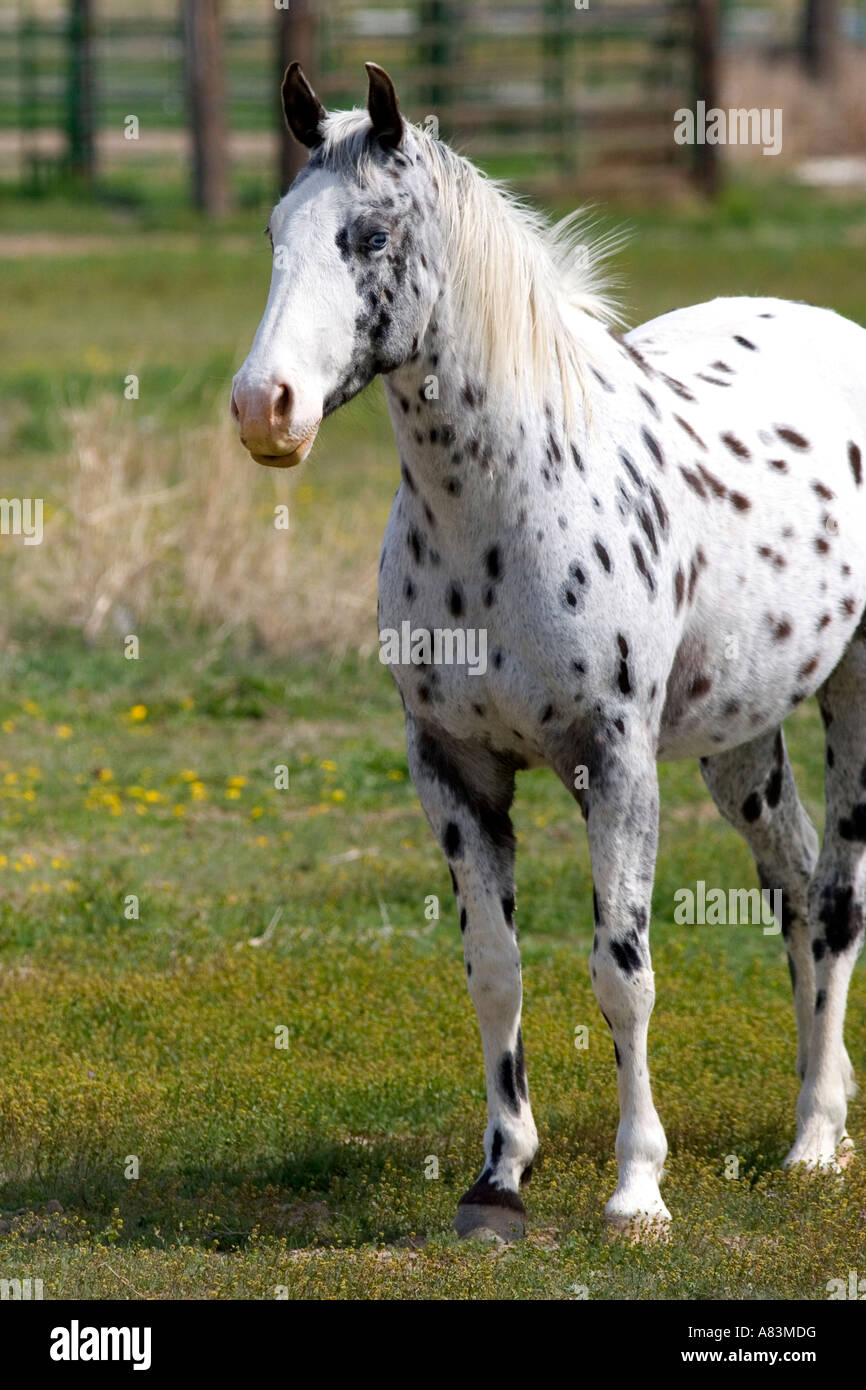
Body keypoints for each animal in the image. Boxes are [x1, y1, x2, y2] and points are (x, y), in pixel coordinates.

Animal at [230, 62, 866, 1239]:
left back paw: (810, 1141)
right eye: (274, 232)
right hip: (738, 741)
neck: (508, 506)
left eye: (370, 235)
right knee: (797, 891)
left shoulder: (612, 765)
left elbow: (622, 971)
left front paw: (636, 1188)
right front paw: (499, 1179)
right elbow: (493, 969)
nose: (265, 407)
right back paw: (820, 1113)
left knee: (839, 904)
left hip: (852, 693)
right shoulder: (453, 768)